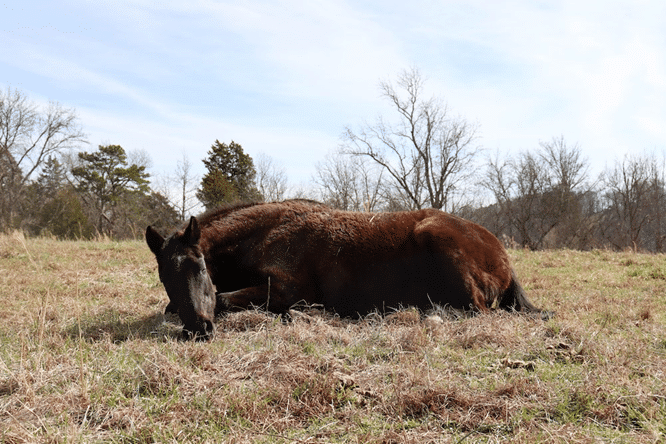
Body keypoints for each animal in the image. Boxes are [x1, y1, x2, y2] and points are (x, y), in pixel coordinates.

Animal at [146, 200, 548, 340]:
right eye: (165, 278)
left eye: (200, 266)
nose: (199, 329)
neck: (265, 234)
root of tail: (502, 255)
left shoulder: (288, 290)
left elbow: (227, 300)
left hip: (440, 244)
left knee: (478, 313)